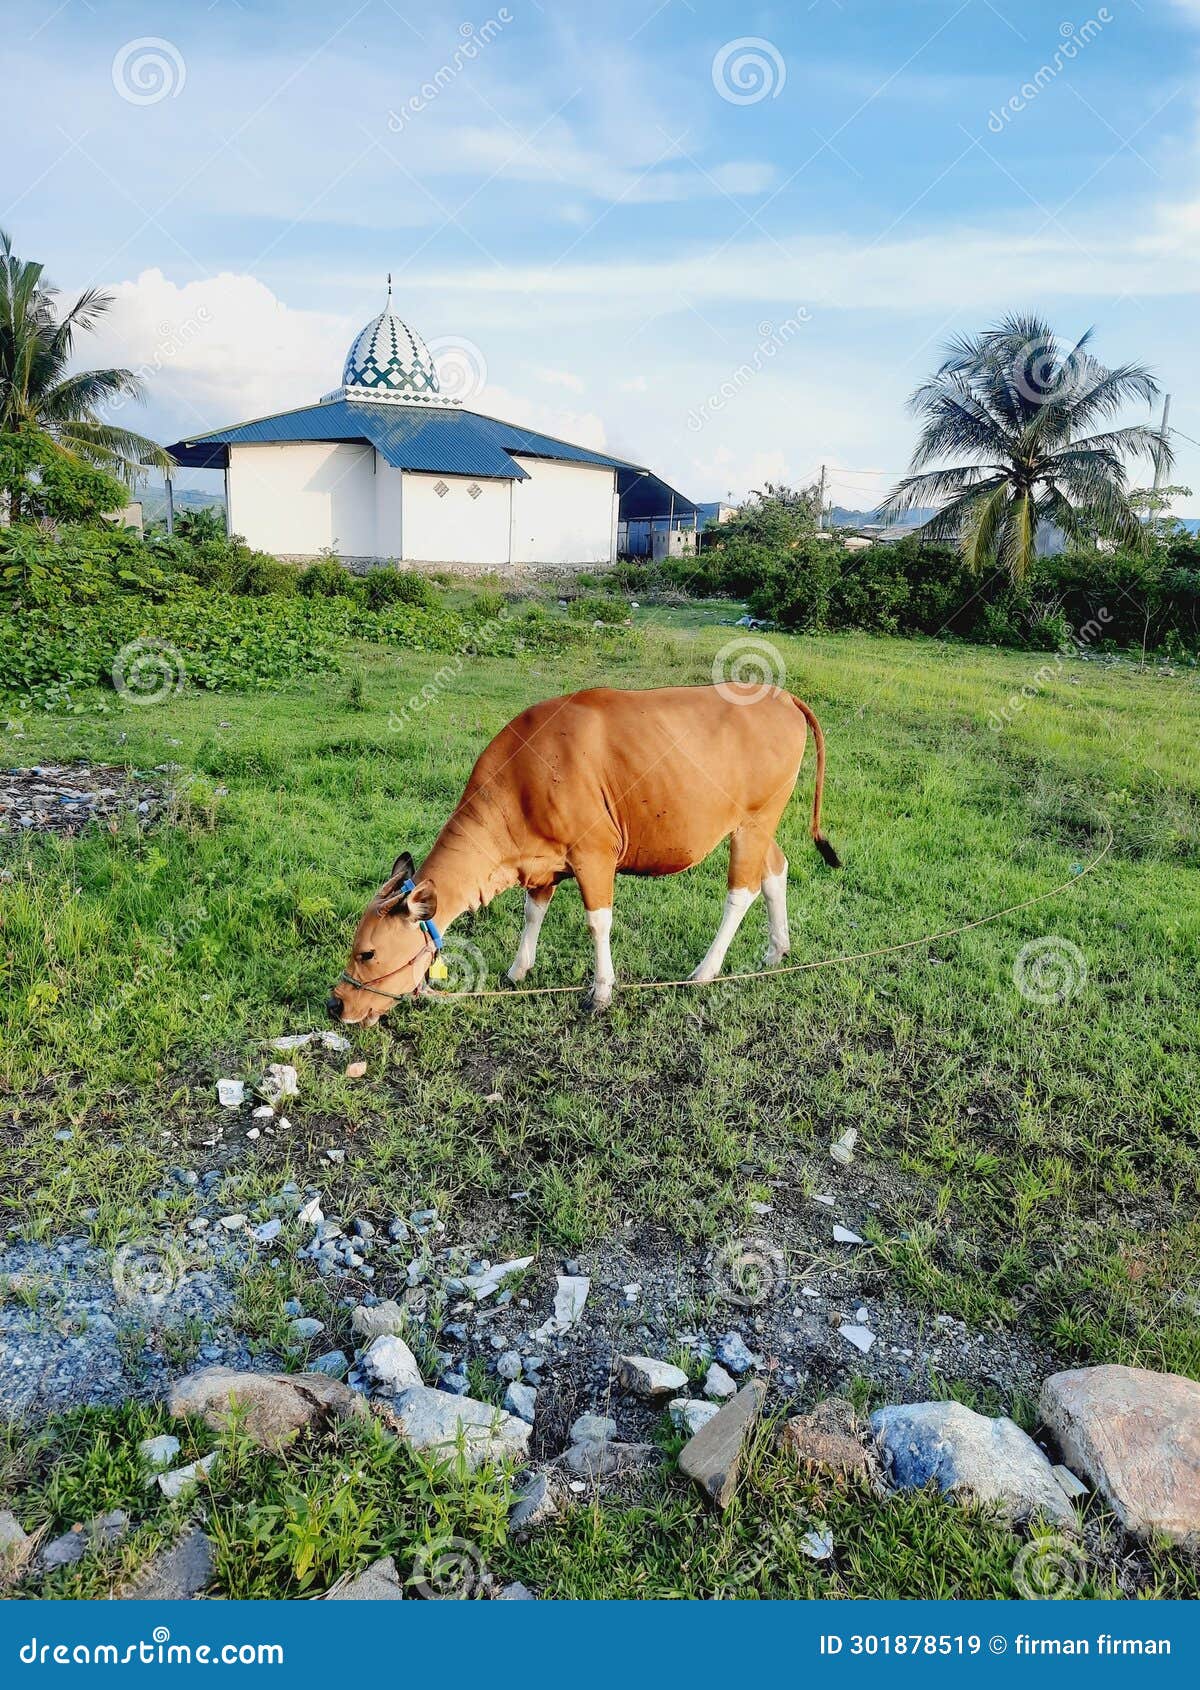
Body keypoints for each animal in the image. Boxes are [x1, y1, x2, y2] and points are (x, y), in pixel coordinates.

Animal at [328, 683, 838, 1023]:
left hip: (753, 821)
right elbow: (532, 913)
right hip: (757, 822)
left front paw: (601, 992)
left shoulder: (595, 854)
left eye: (368, 953)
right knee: (775, 870)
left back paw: (706, 971)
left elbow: (598, 922)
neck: (523, 779)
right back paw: (777, 950)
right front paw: (518, 970)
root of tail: (780, 695)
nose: (336, 1003)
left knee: (741, 891)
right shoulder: (541, 865)